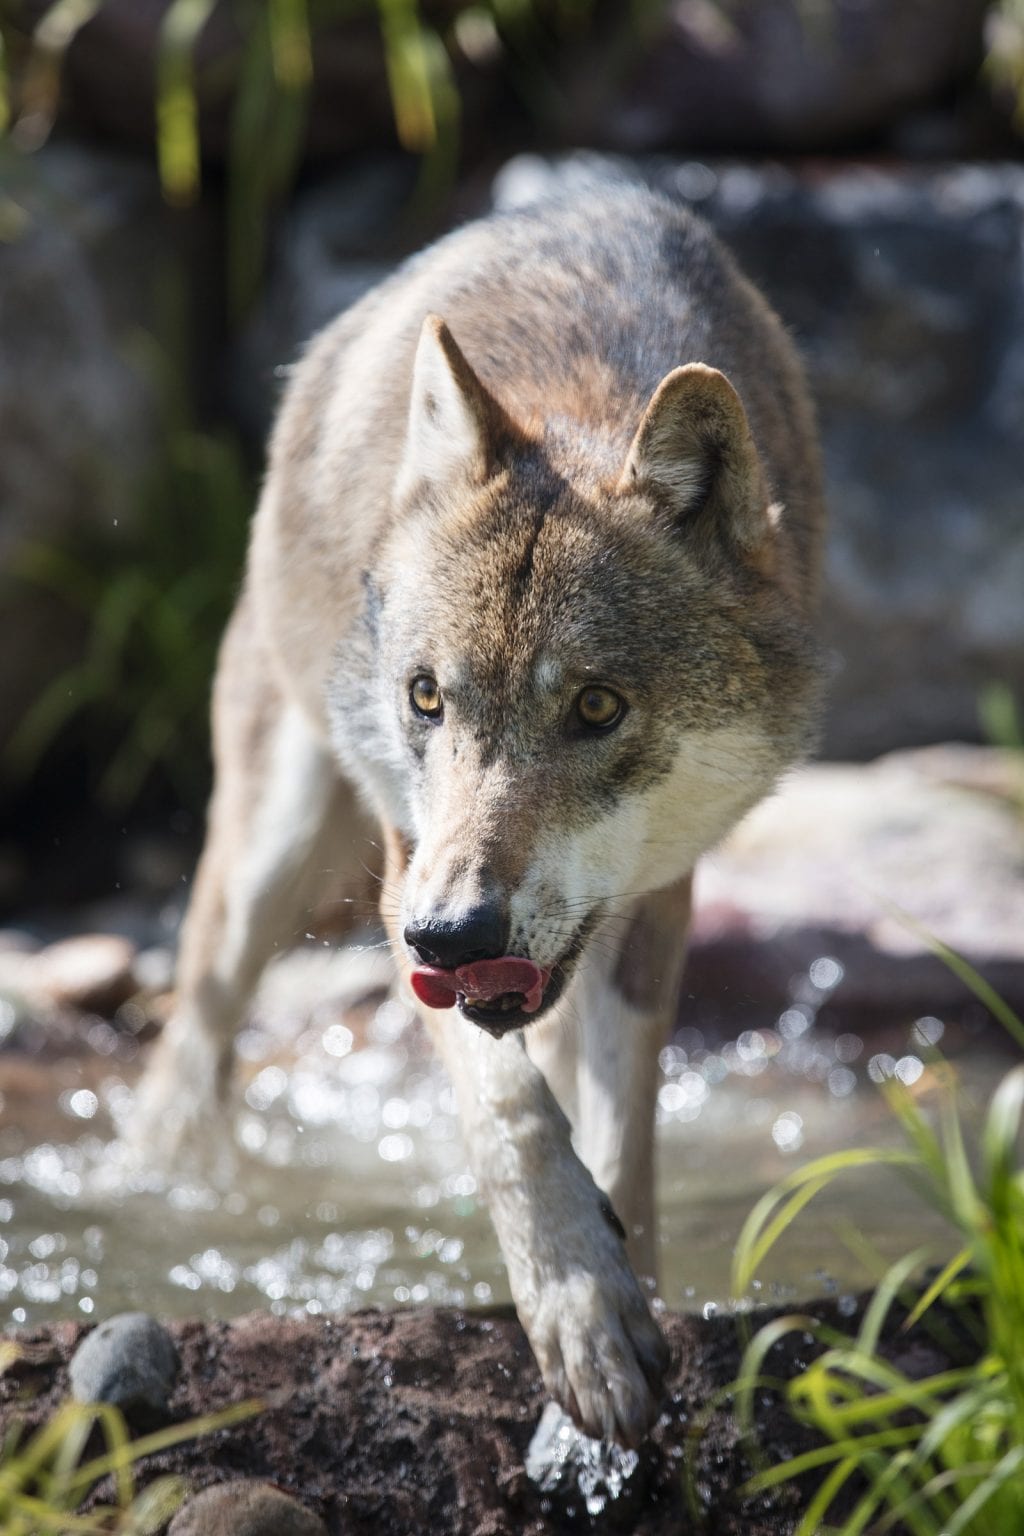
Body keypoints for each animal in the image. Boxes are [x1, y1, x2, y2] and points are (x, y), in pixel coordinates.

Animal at [135, 182, 825, 1448]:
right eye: (426, 697)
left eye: (597, 707)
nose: (452, 935)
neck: (583, 406)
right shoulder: (407, 870)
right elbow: (509, 1108)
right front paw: (576, 1306)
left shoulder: (653, 907)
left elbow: (619, 1135)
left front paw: (628, 1297)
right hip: (266, 855)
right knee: (191, 1052)